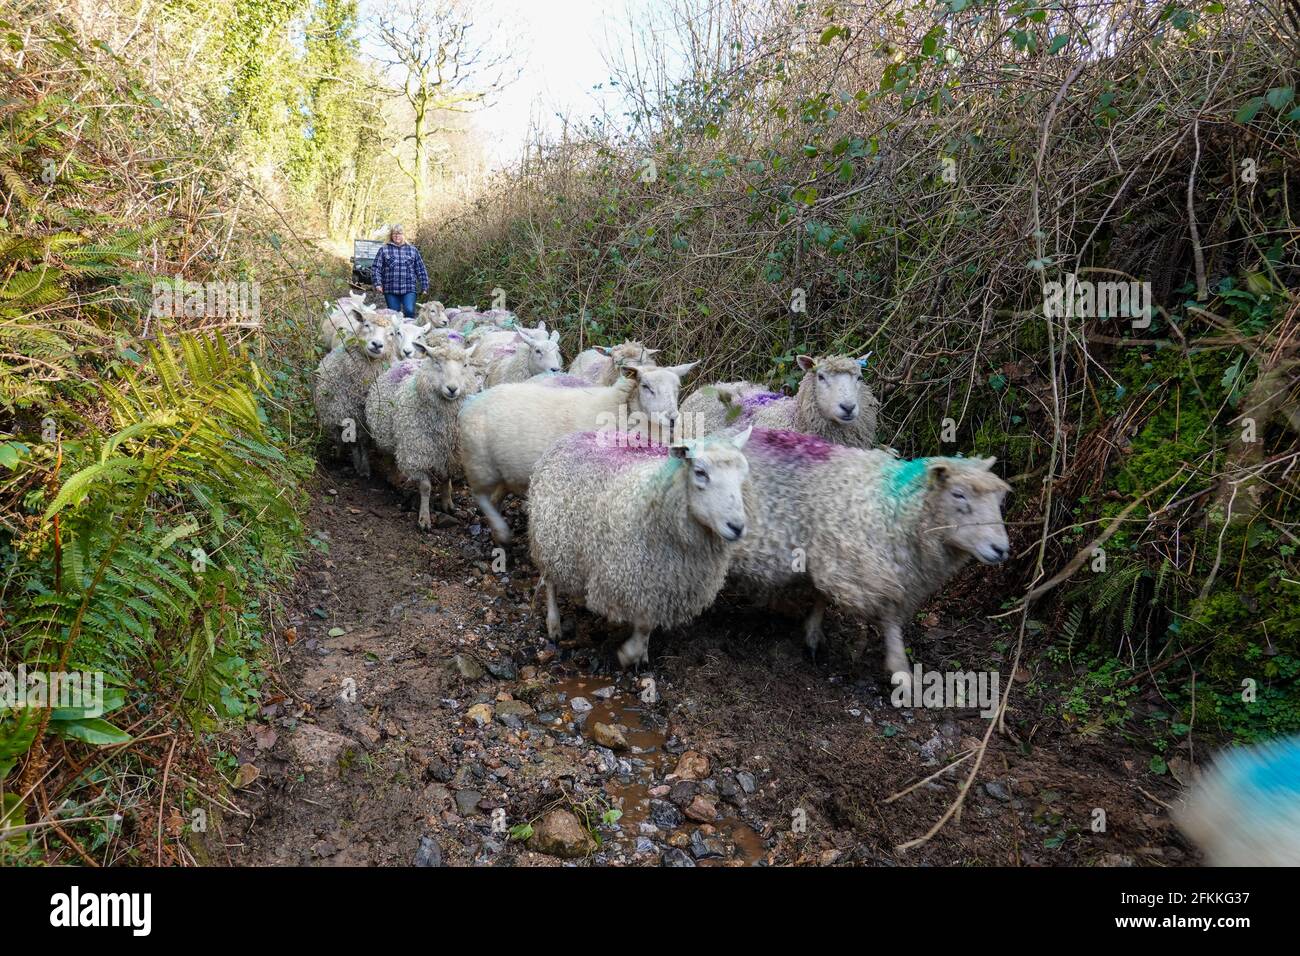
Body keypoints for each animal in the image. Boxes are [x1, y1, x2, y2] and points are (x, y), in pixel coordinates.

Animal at [313, 313, 398, 477]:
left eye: (392, 333)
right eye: (366, 325)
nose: (377, 344)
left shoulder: (365, 419)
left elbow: (363, 442)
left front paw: (364, 468)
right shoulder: (347, 412)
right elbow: (352, 441)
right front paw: (357, 464)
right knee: (340, 436)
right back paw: (339, 453)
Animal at [457, 362, 699, 542]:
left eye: (677, 388)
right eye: (646, 386)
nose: (672, 418)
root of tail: (471, 401)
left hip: (505, 470)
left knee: (495, 496)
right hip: (480, 463)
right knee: (480, 496)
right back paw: (502, 533)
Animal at [529, 426, 754, 667]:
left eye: (743, 474)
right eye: (700, 472)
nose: (737, 527)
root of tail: (572, 435)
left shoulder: (663, 585)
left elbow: (648, 626)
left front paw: (641, 654)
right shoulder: (637, 577)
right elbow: (644, 623)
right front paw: (628, 655)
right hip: (549, 542)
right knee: (549, 583)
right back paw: (554, 625)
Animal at [725, 429, 1010, 688]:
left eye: (999, 499)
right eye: (959, 494)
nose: (1001, 548)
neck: (897, 509)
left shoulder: (837, 559)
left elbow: (822, 596)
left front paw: (813, 635)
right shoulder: (865, 570)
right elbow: (889, 618)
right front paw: (901, 672)